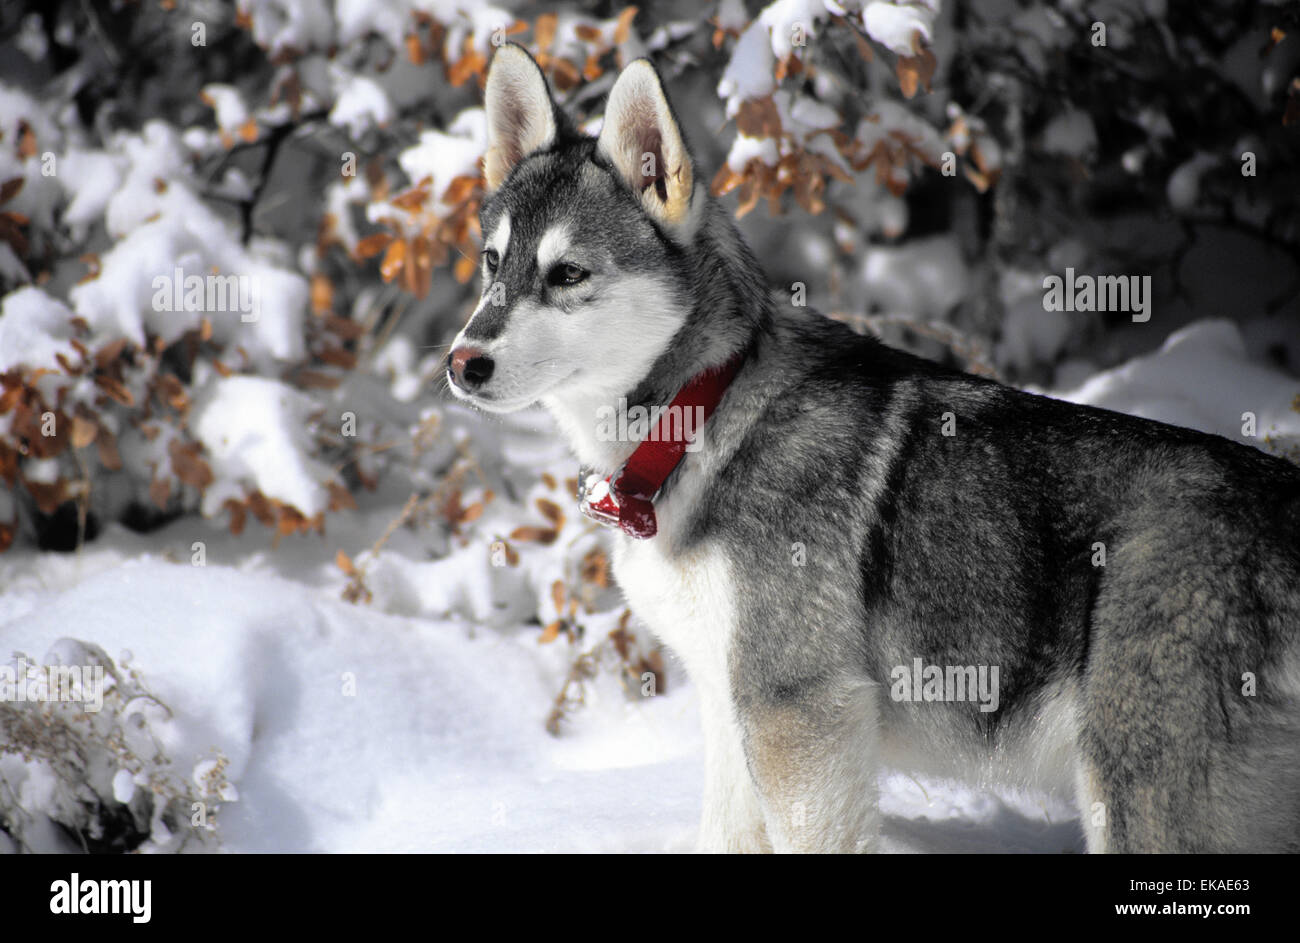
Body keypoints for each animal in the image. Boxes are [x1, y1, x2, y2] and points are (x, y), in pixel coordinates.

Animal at [446, 44, 1300, 853]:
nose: (461, 362)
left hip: (1146, 797)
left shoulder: (802, 718)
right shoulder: (733, 708)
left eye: (567, 273)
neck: (703, 413)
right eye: (492, 263)